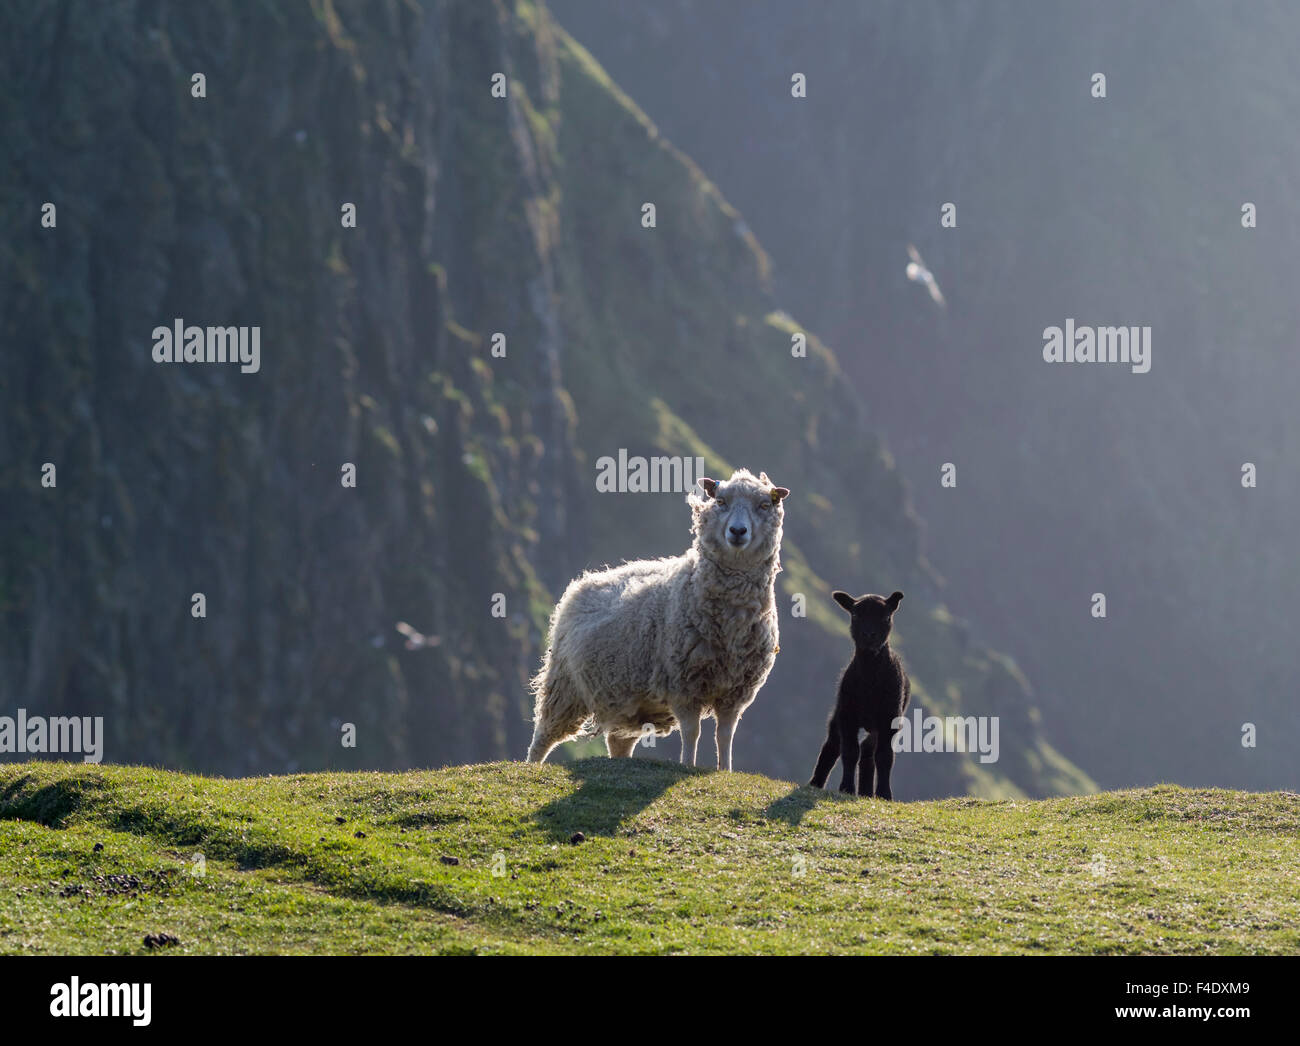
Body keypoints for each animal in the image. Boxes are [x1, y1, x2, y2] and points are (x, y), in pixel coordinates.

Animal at [526, 468, 790, 769]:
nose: (737, 531)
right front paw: (688, 765)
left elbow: (724, 735)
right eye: (721, 501)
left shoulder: (736, 692)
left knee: (618, 741)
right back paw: (531, 765)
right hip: (564, 685)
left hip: (626, 701)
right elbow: (692, 731)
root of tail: (584, 581)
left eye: (765, 505)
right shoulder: (683, 685)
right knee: (544, 734)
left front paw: (726, 770)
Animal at [808, 589, 911, 798]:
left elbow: (885, 756)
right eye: (855, 615)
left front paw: (884, 794)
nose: (869, 635)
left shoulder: (889, 717)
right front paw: (846, 788)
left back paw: (866, 792)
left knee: (868, 752)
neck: (870, 683)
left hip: (878, 725)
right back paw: (816, 783)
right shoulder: (847, 715)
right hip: (839, 713)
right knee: (833, 745)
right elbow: (849, 752)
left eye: (886, 617)